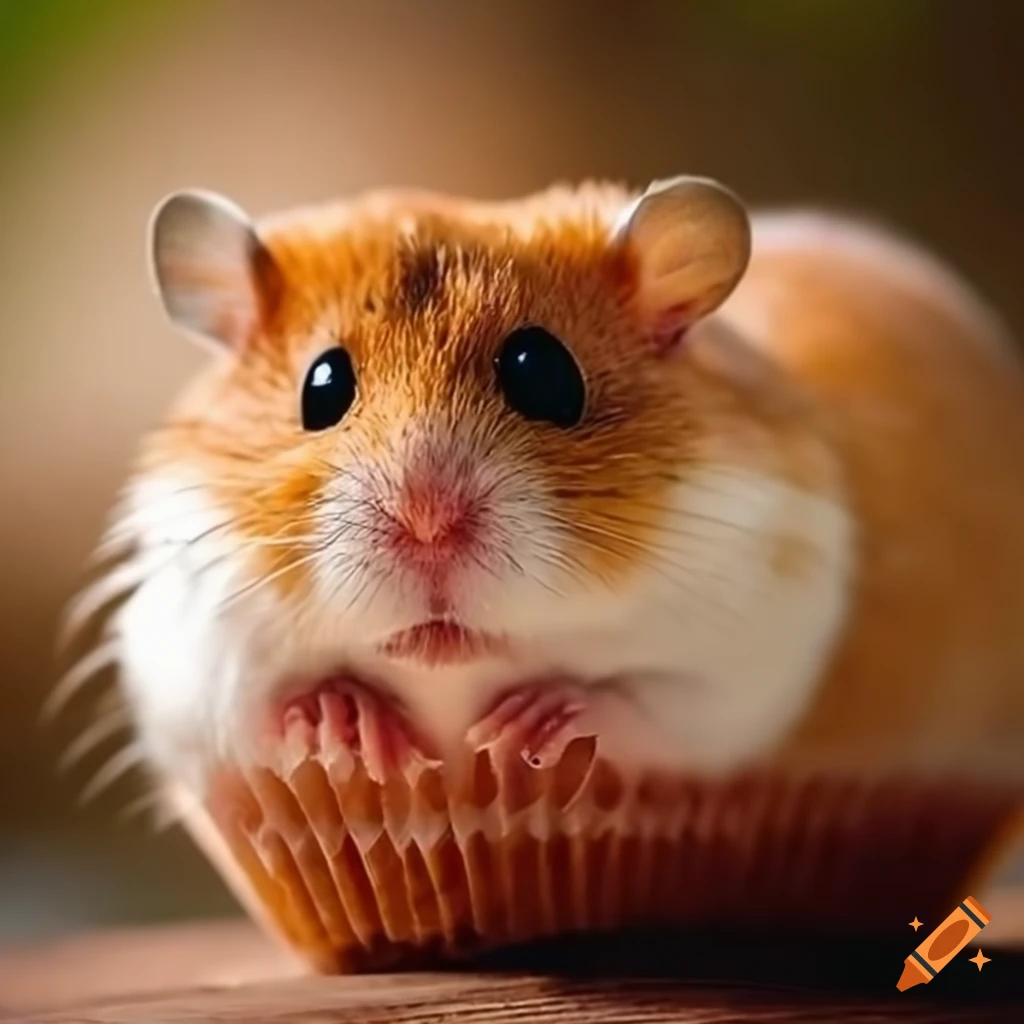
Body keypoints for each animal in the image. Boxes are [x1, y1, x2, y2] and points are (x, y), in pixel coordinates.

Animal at [64, 176, 1024, 800]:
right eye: (321, 387)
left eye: (546, 376)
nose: (427, 522)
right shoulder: (181, 662)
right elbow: (256, 706)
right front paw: (357, 732)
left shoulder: (762, 643)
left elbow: (660, 706)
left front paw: (523, 729)